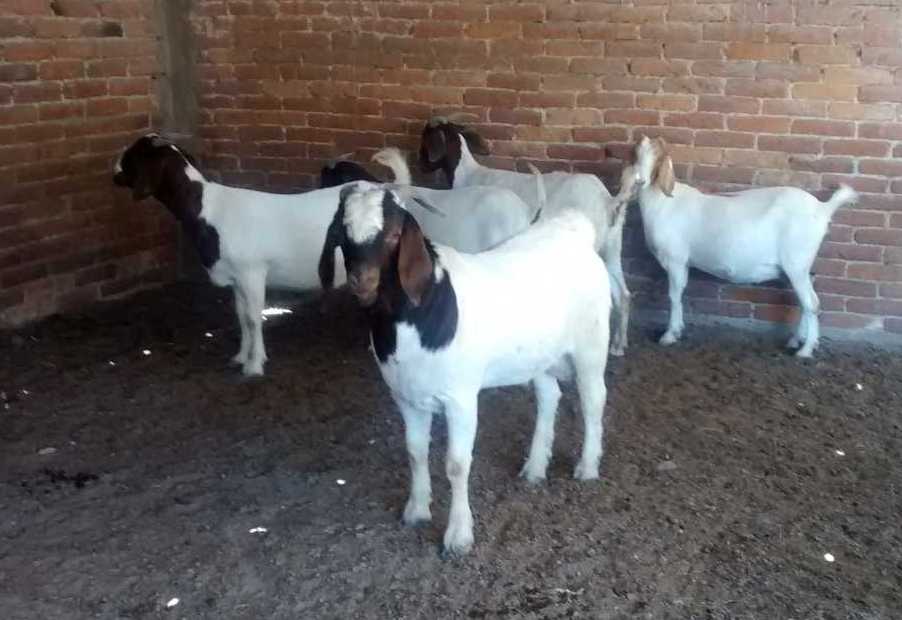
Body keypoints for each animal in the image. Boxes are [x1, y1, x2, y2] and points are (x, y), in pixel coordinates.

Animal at [319, 182, 613, 556]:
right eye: (343, 232)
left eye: (395, 233)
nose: (361, 281)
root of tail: (573, 231)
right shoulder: (406, 397)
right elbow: (415, 453)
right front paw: (416, 510)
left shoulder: (460, 398)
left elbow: (457, 465)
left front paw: (458, 536)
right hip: (540, 356)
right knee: (549, 396)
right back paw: (534, 467)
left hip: (592, 345)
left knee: (593, 400)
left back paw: (587, 467)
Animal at [418, 117, 633, 357]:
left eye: (426, 139)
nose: (420, 165)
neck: (467, 173)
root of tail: (608, 201)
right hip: (612, 247)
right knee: (623, 294)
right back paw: (619, 344)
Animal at [632, 135, 858, 358]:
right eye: (637, 153)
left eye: (656, 155)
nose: (640, 180)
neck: (663, 202)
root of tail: (823, 208)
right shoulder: (684, 263)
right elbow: (680, 293)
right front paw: (678, 329)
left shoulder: (675, 259)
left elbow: (674, 296)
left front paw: (669, 335)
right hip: (796, 268)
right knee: (804, 301)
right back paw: (796, 340)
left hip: (797, 263)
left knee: (812, 303)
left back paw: (806, 349)